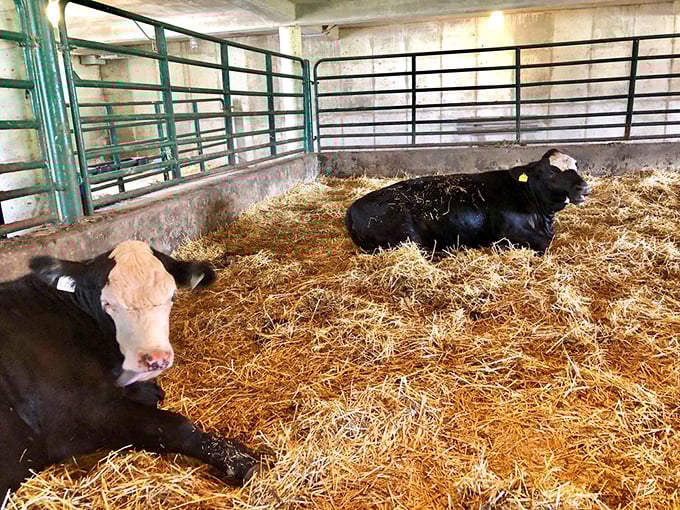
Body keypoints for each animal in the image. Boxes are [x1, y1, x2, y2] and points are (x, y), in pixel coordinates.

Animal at [0, 240, 266, 499]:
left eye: (172, 296)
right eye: (108, 304)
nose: (155, 358)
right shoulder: (80, 418)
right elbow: (175, 426)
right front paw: (242, 460)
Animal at [345, 149, 591, 255]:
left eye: (576, 165)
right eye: (551, 172)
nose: (584, 187)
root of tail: (353, 207)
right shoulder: (509, 232)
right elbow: (544, 243)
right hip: (406, 233)